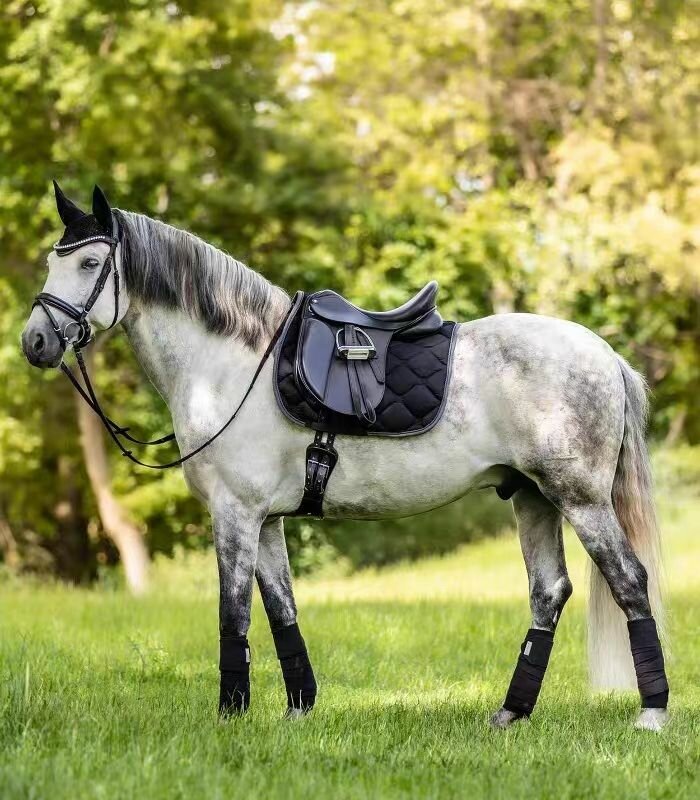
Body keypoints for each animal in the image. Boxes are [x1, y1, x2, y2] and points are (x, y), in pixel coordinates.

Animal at [21, 184, 669, 731]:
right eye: (54, 261)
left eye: (89, 263)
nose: (35, 342)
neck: (233, 365)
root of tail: (606, 355)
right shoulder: (267, 520)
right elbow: (281, 610)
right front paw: (298, 709)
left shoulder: (235, 515)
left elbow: (234, 614)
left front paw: (231, 715)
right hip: (532, 497)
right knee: (548, 592)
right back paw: (511, 715)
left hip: (581, 500)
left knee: (629, 580)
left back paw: (652, 713)